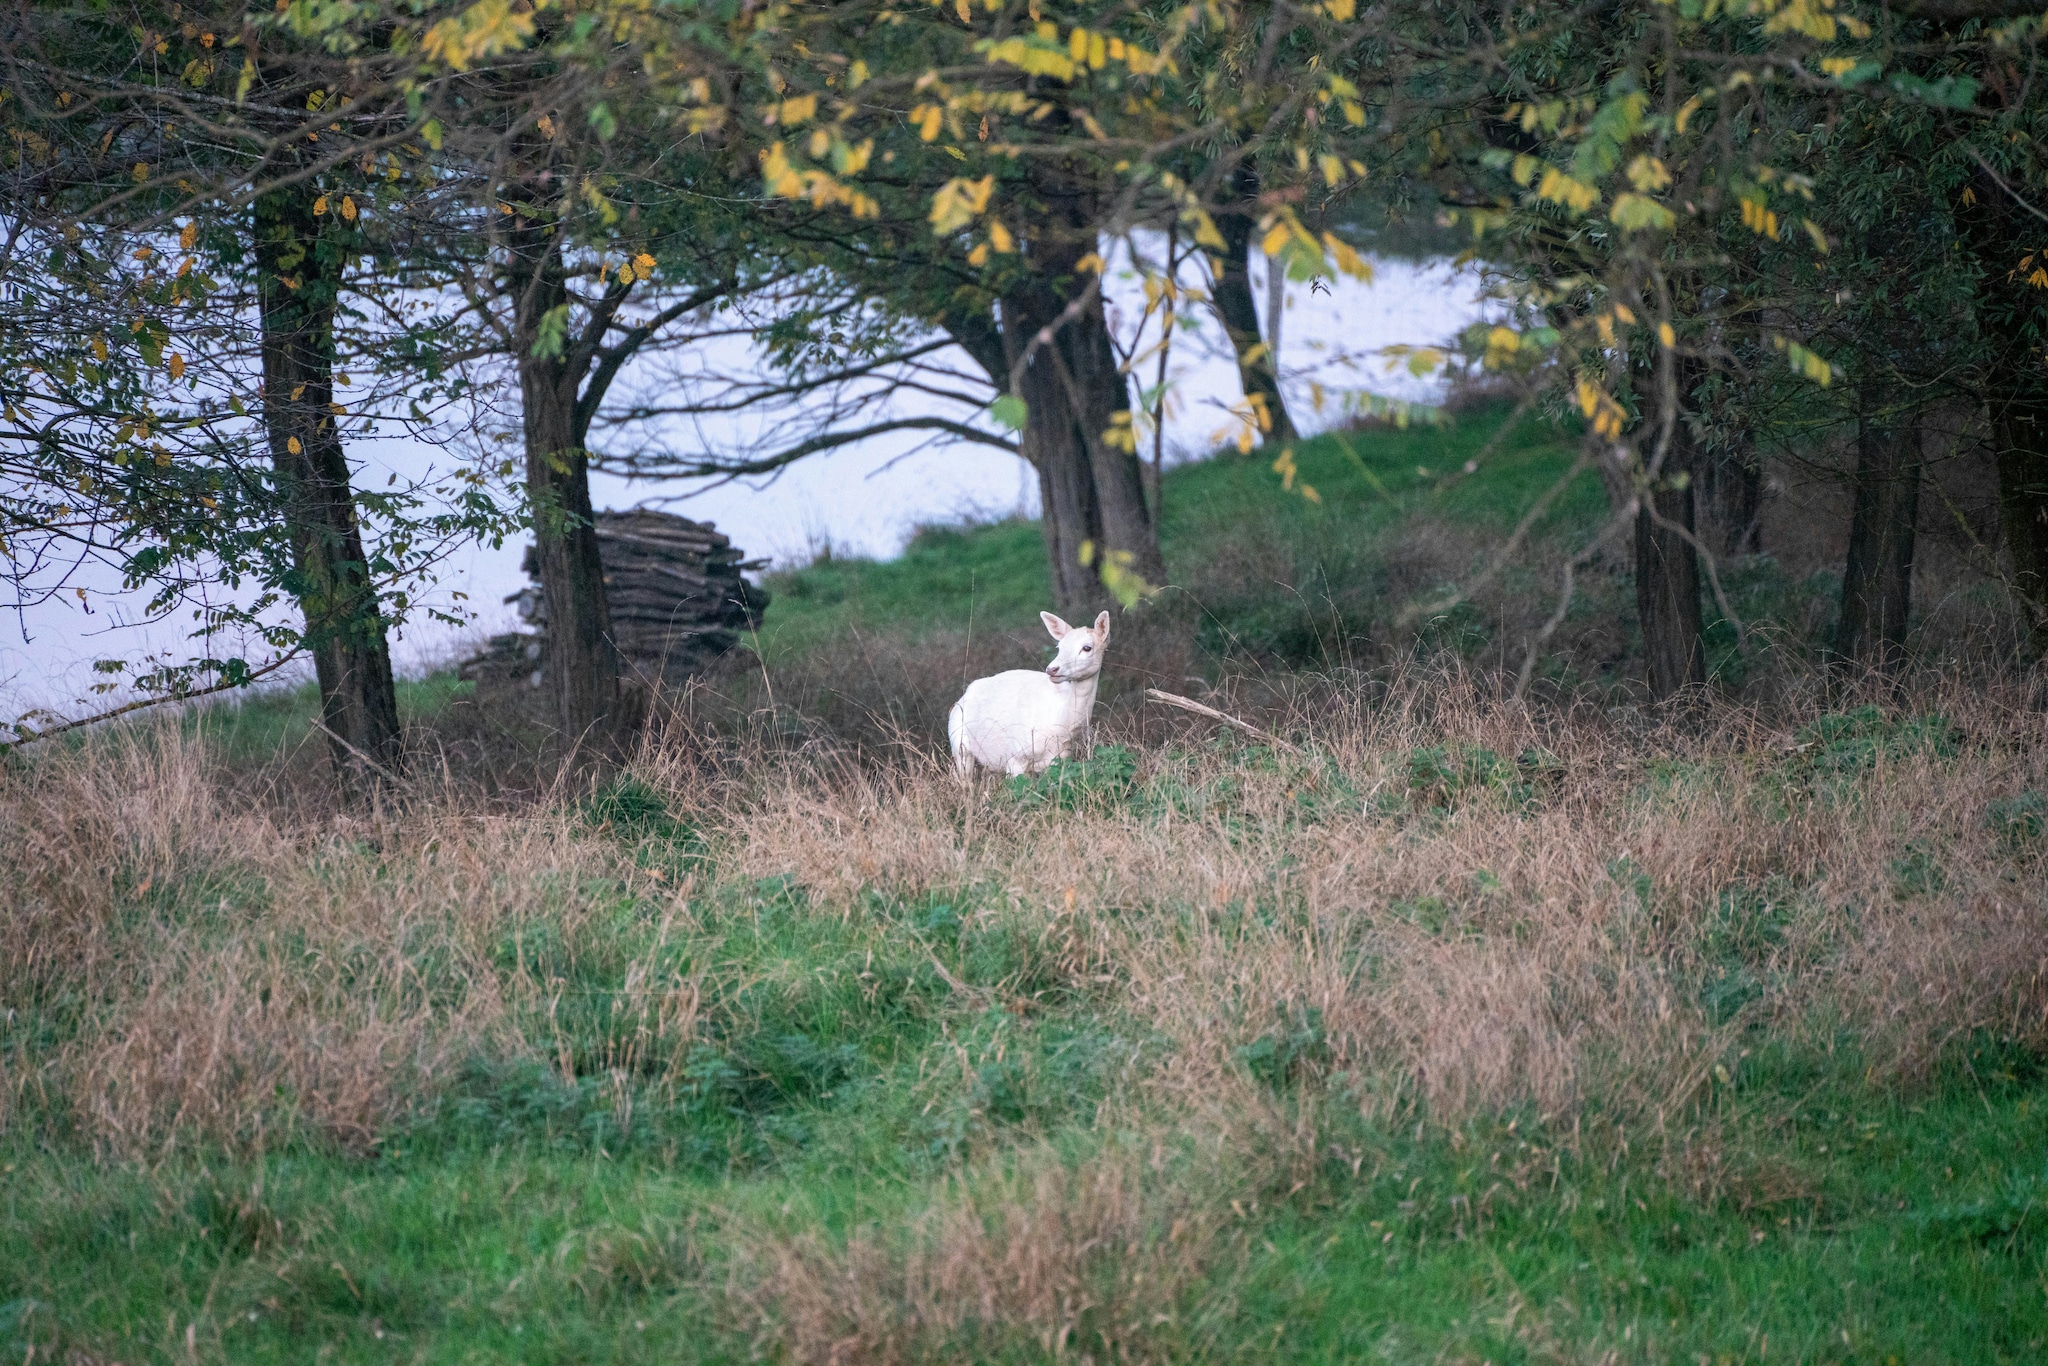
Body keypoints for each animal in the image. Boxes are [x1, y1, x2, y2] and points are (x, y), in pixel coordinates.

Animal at [949, 610, 1112, 779]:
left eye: (1087, 647)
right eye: (1059, 646)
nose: (1052, 669)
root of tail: (961, 698)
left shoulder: (1061, 758)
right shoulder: (1014, 756)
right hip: (959, 745)